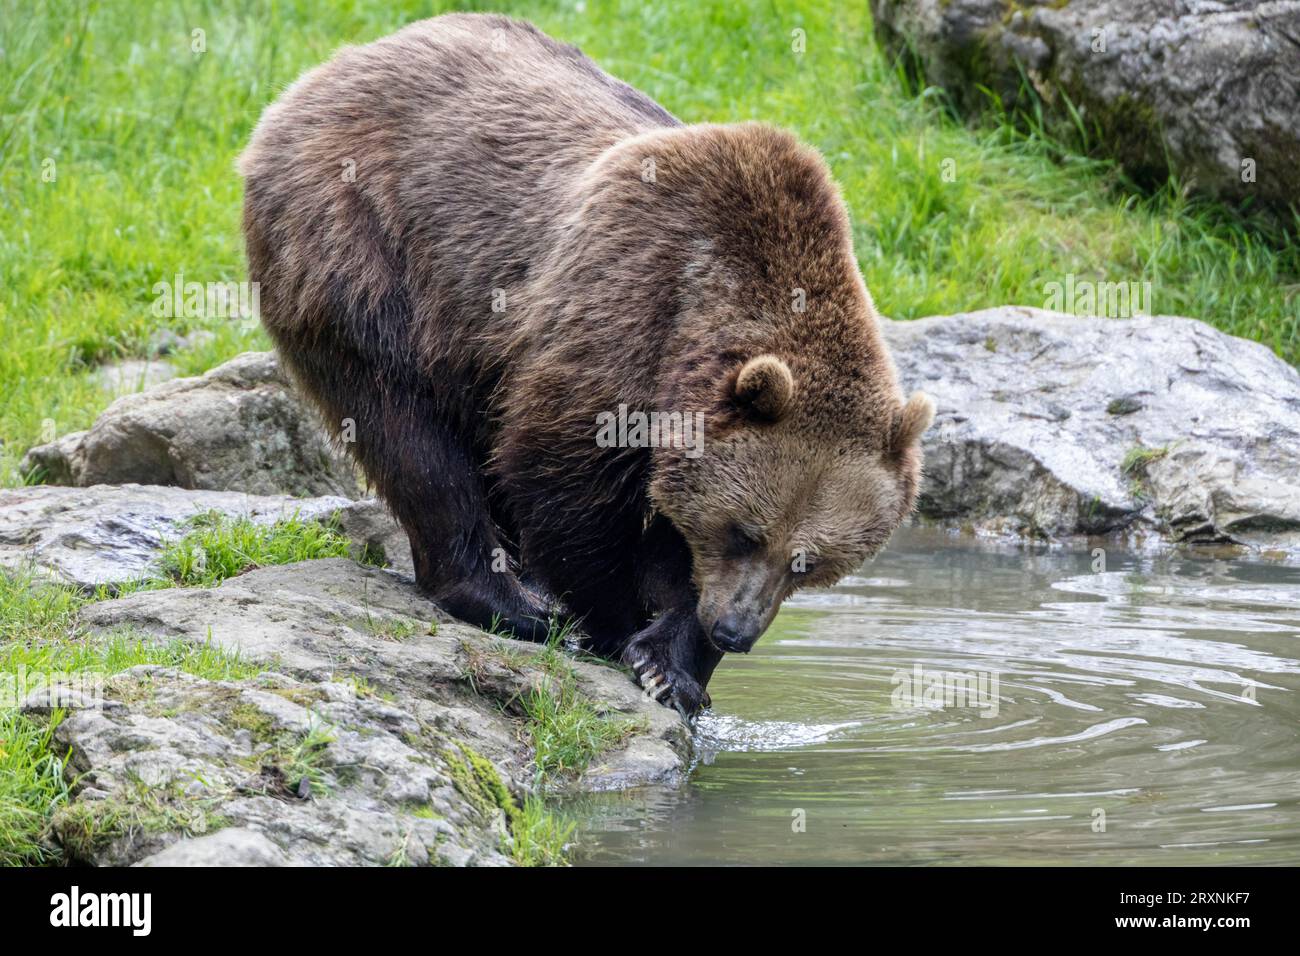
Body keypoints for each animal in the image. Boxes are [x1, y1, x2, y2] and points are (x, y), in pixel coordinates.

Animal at [239, 13, 933, 716]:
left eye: (807, 562)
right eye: (745, 532)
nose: (734, 631)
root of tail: (332, 66)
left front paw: (674, 665)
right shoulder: (624, 309)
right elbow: (561, 477)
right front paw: (616, 627)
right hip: (365, 248)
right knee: (404, 426)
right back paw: (509, 601)